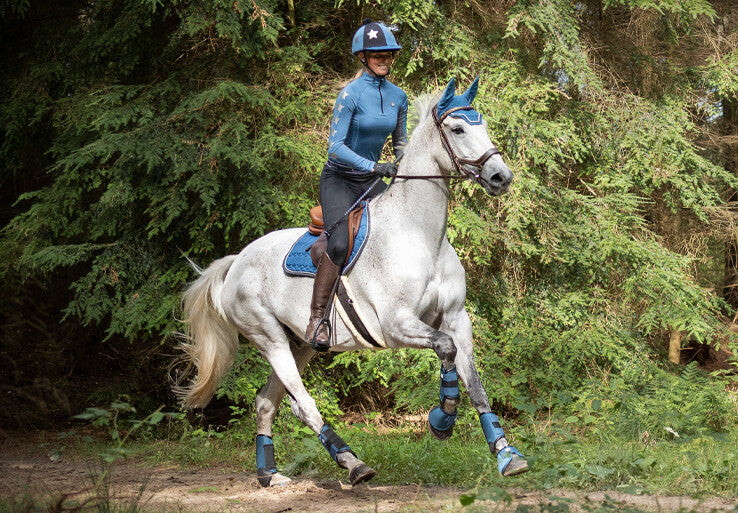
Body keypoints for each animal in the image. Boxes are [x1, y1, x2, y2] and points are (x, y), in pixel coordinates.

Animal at [175, 77, 529, 487]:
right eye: (457, 129)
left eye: (482, 124)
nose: (501, 177)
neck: (420, 235)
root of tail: (236, 262)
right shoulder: (396, 325)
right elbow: (445, 350)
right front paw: (442, 419)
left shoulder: (457, 319)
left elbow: (474, 383)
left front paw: (507, 455)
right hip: (269, 337)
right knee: (302, 405)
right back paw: (352, 463)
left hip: (302, 344)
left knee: (267, 403)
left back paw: (271, 475)